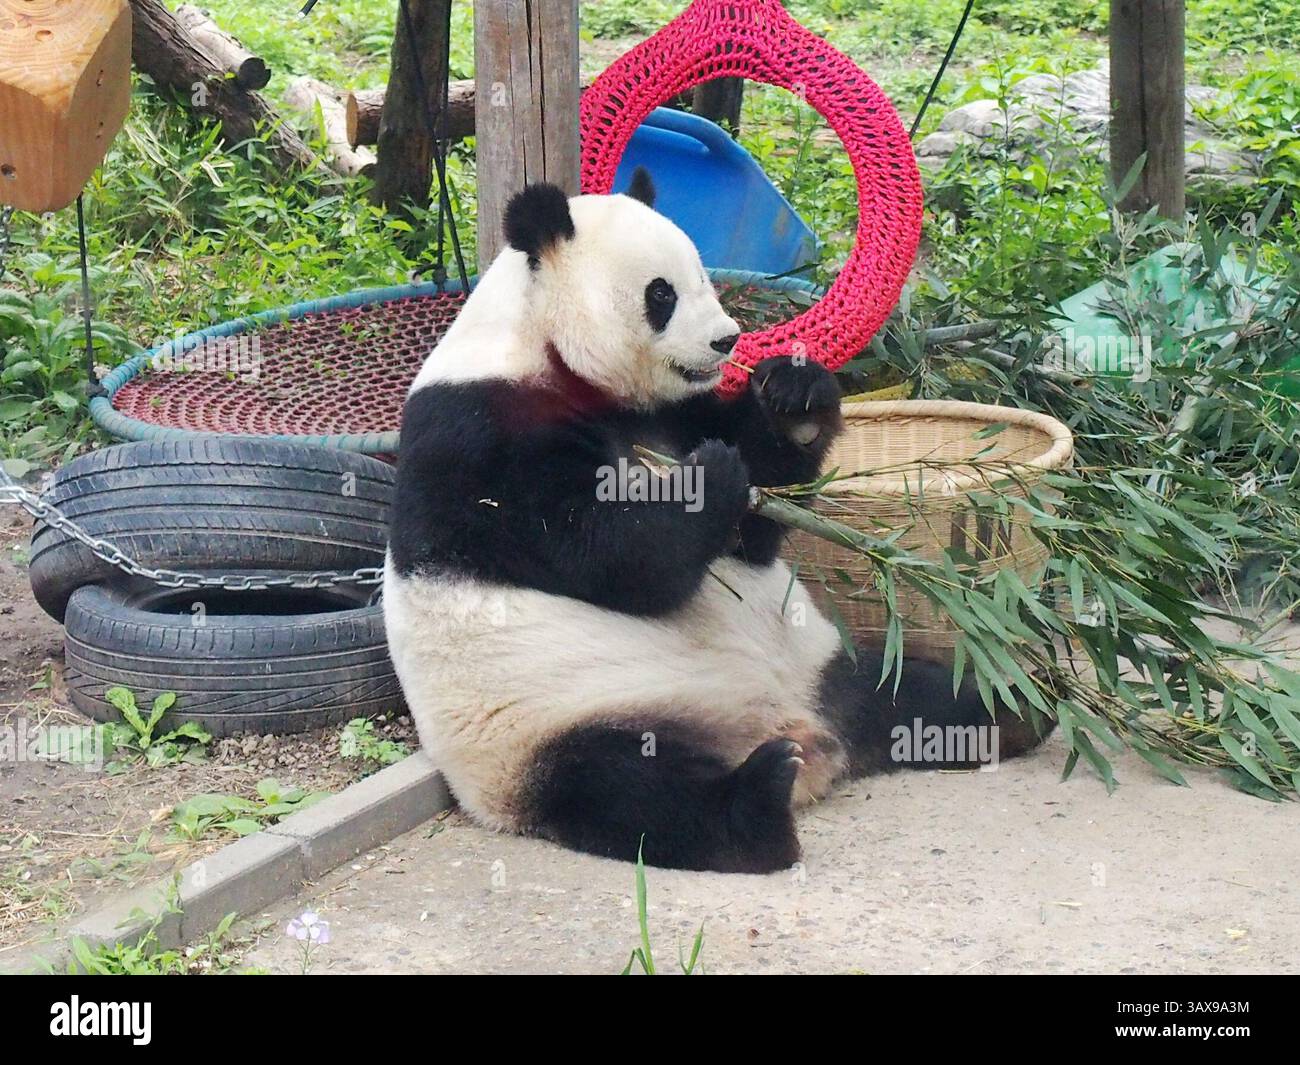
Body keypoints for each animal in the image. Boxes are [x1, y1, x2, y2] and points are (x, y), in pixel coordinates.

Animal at [383, 171, 1050, 874]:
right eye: (661, 294)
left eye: (704, 274)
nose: (728, 340)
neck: (549, 353)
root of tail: (810, 735)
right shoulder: (479, 434)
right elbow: (604, 555)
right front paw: (706, 480)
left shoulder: (676, 411)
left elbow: (752, 528)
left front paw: (794, 395)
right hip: (548, 726)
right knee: (632, 790)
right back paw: (756, 803)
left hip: (827, 661)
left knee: (915, 689)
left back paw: (1017, 703)